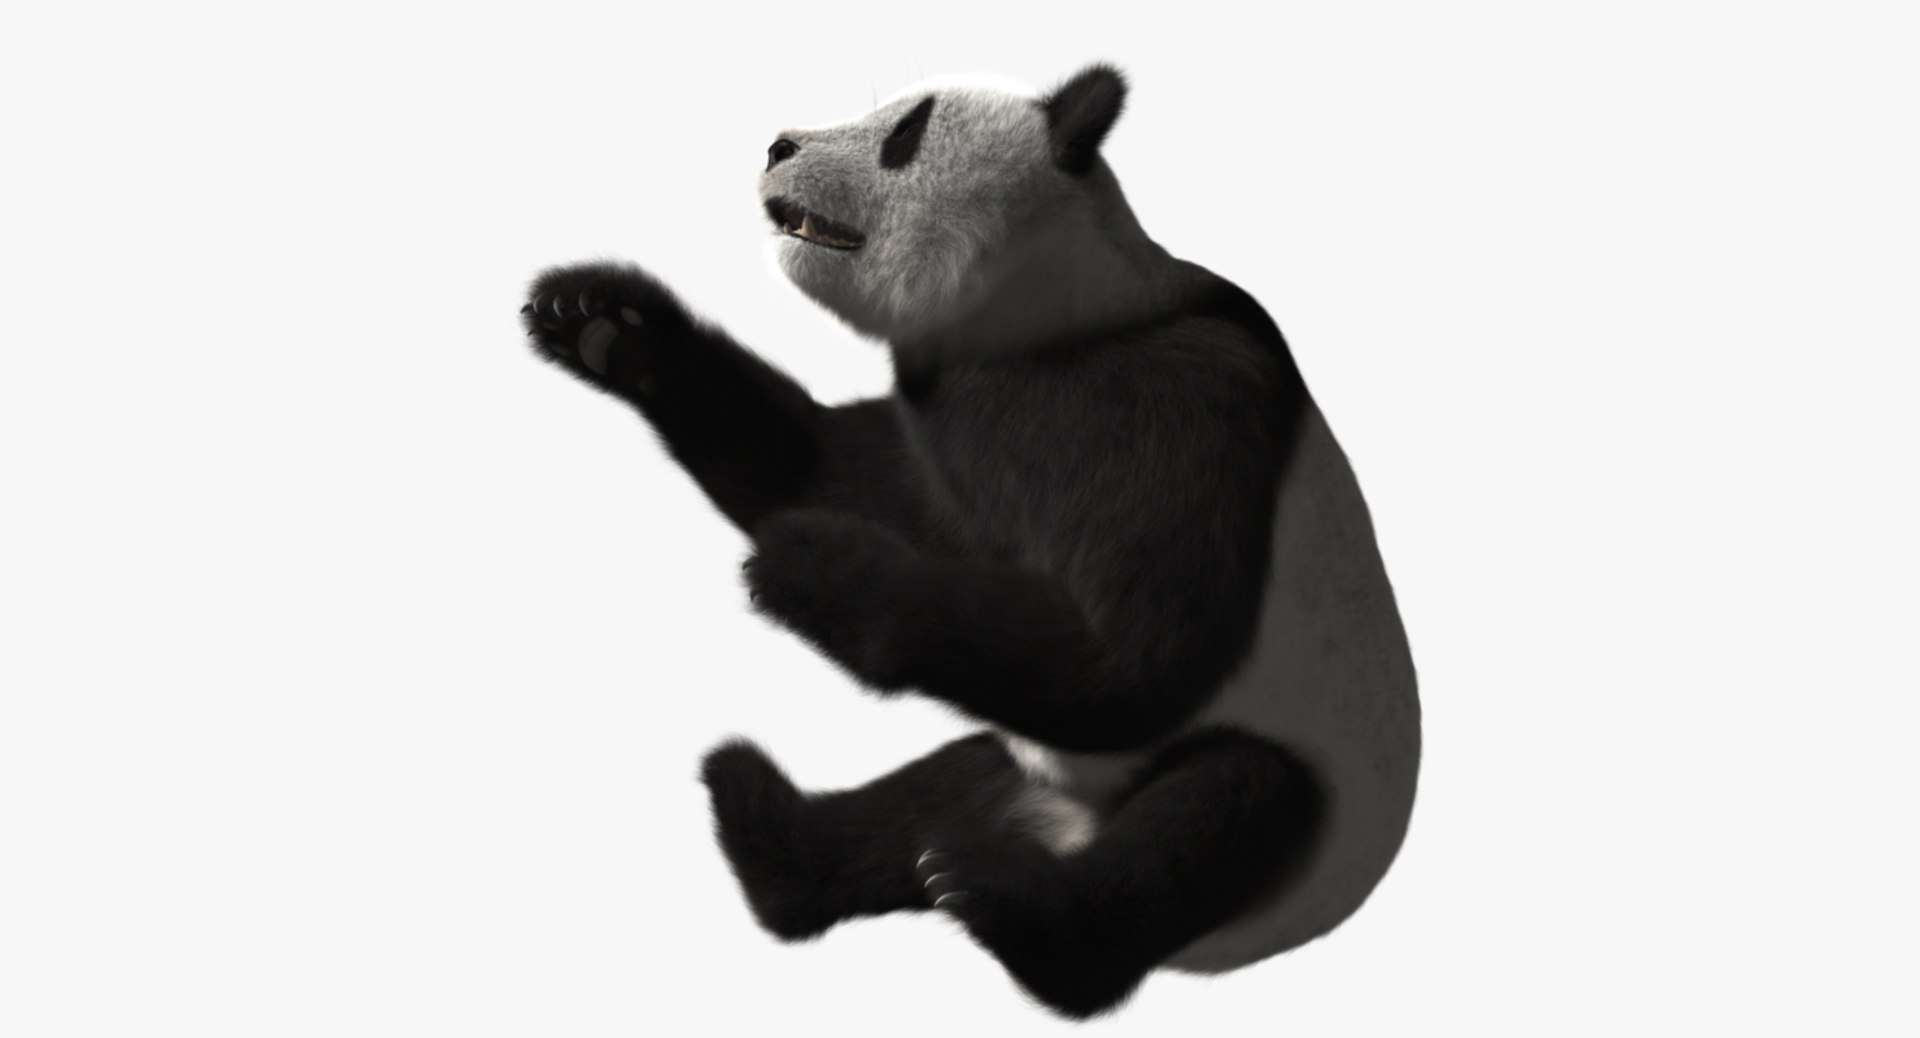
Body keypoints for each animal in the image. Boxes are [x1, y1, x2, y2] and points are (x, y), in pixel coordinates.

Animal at [520, 62, 1420, 1019]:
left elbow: (1136, 657)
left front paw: (815, 568)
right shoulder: (960, 430)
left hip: (1293, 823)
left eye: (904, 135)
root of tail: (1068, 831)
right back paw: (768, 826)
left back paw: (1015, 908)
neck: (1054, 312)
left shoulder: (1179, 409)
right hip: (1018, 763)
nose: (778, 145)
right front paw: (605, 325)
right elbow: (836, 474)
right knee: (928, 798)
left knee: (1227, 805)